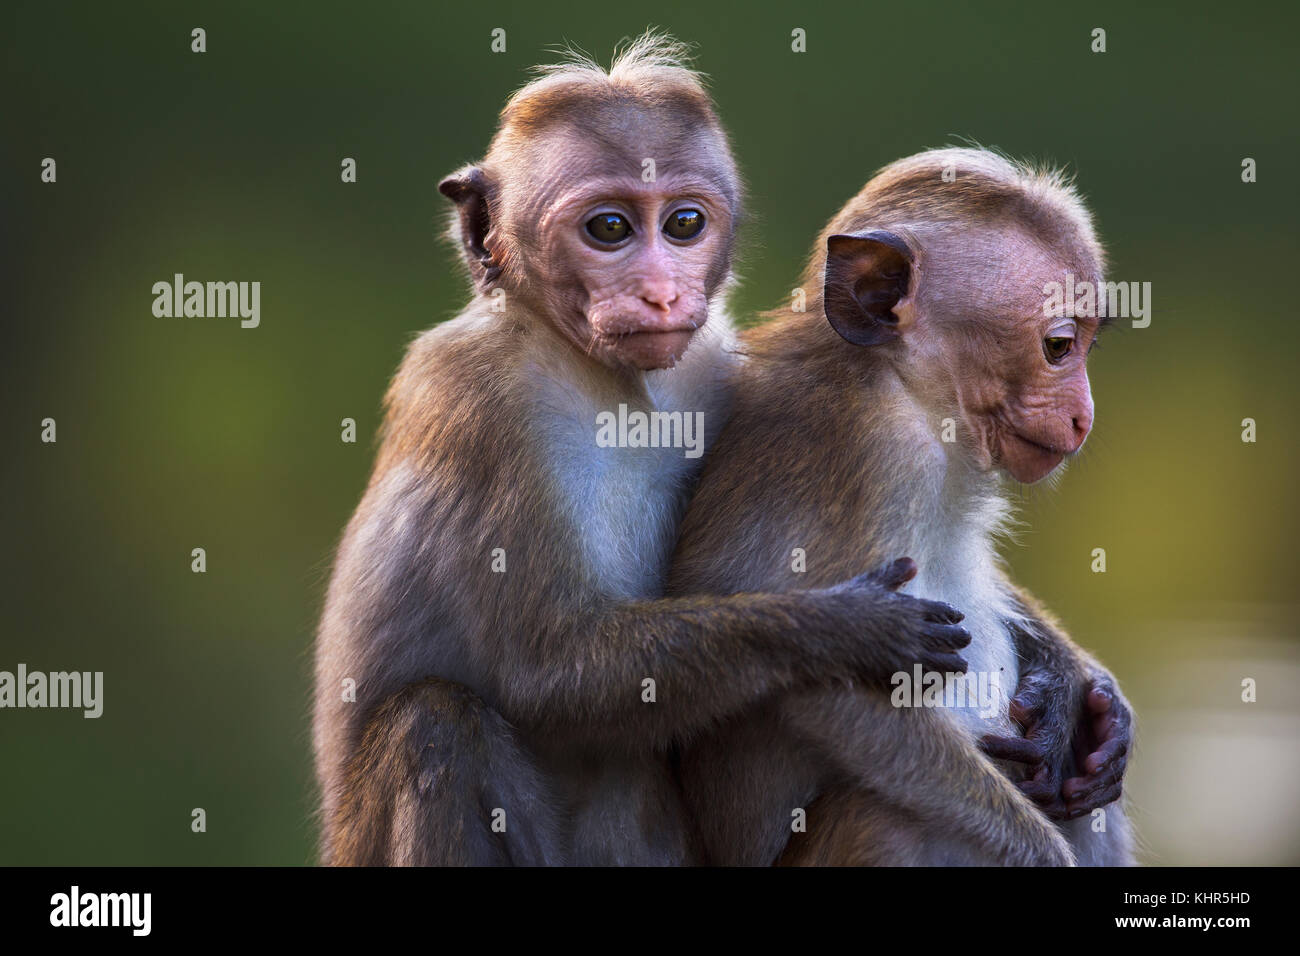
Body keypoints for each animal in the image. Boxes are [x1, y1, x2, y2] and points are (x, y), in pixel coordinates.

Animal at [312, 36, 973, 866]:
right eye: (609, 229)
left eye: (684, 223)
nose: (660, 292)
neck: (598, 377)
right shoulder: (472, 397)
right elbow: (545, 673)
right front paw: (838, 629)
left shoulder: (711, 360)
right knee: (434, 720)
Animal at [665, 147, 1135, 867]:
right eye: (1059, 346)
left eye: (1084, 345)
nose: (1084, 416)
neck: (904, 387)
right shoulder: (876, 454)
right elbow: (828, 692)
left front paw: (1072, 692)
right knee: (886, 815)